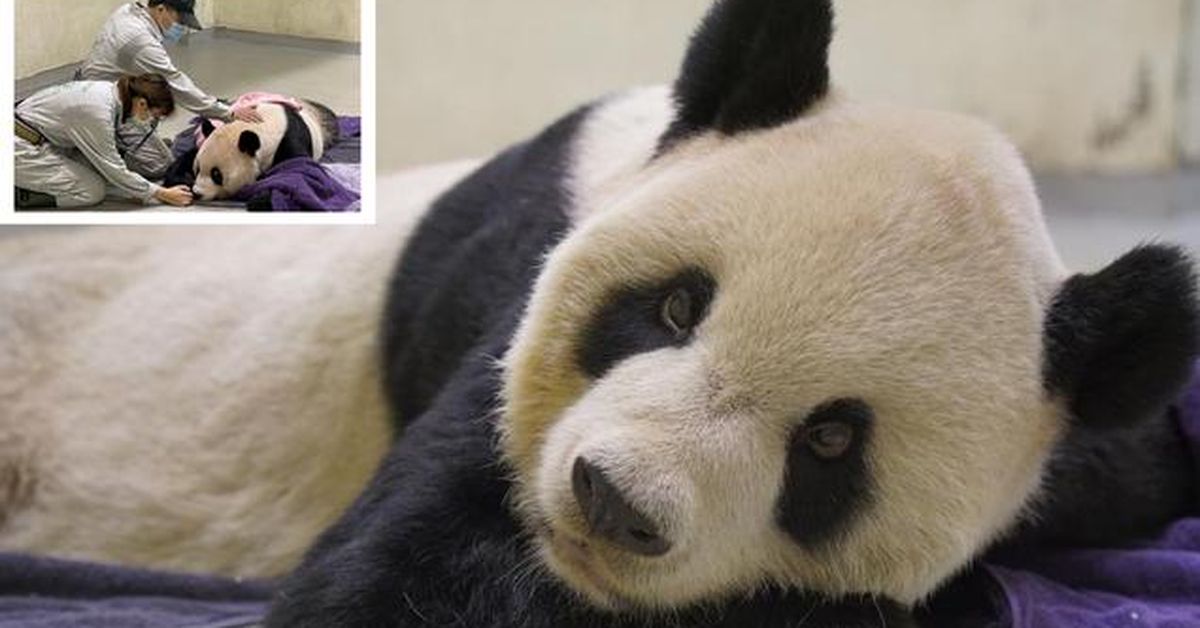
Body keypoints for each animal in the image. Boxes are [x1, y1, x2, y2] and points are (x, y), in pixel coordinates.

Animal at [187, 98, 339, 202]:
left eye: (216, 175)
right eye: (197, 169)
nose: (197, 193)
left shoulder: (289, 140)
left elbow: (297, 170)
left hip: (326, 129)